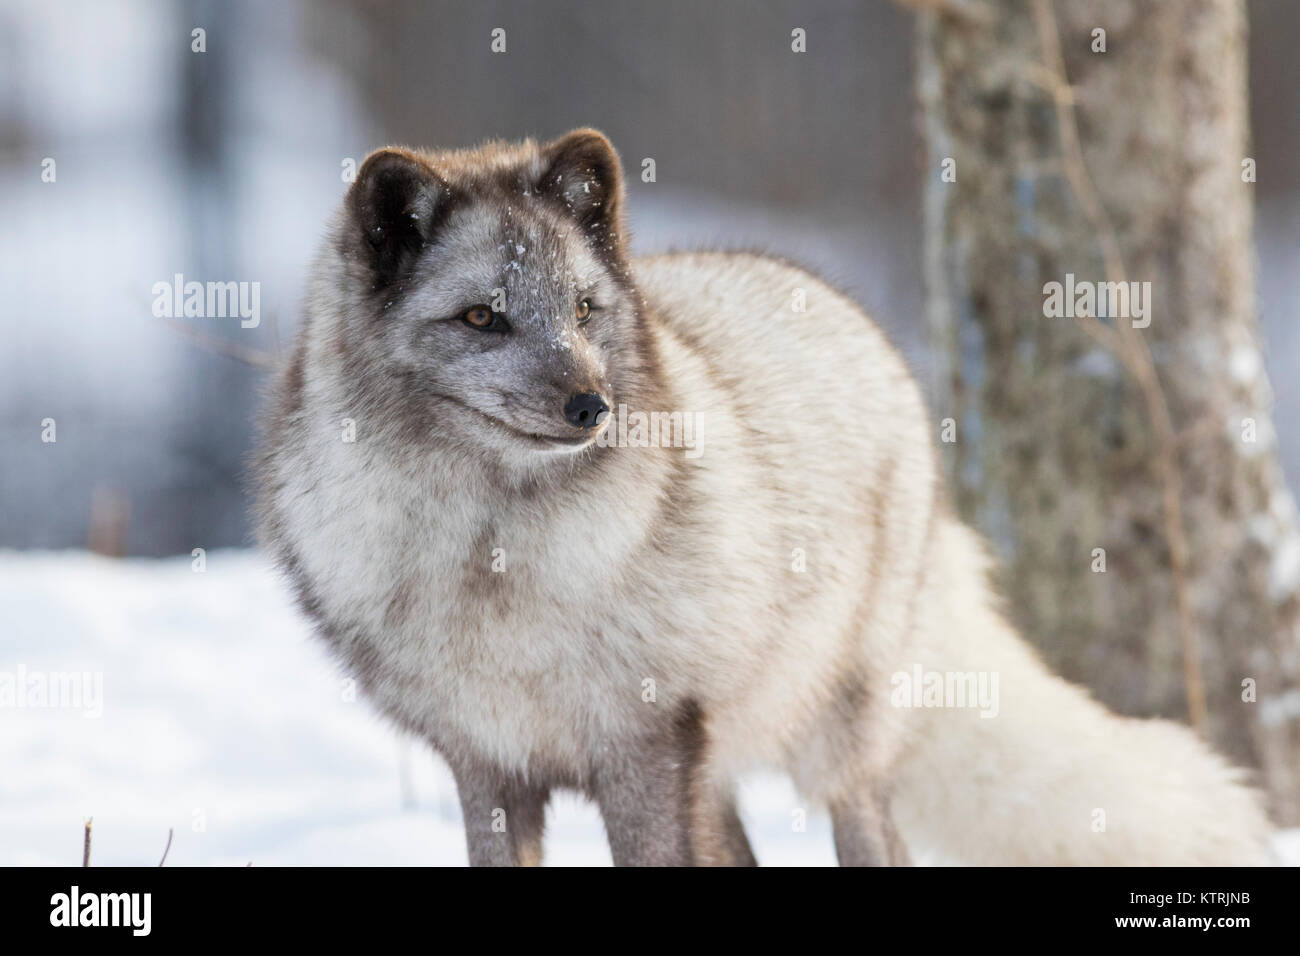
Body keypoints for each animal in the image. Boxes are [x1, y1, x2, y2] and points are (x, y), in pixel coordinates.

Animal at [254, 128, 1273, 866]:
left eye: (582, 311)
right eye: (481, 318)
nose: (594, 407)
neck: (490, 554)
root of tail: (848, 312)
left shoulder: (645, 750)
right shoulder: (487, 767)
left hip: (831, 744)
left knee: (874, 836)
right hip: (717, 769)